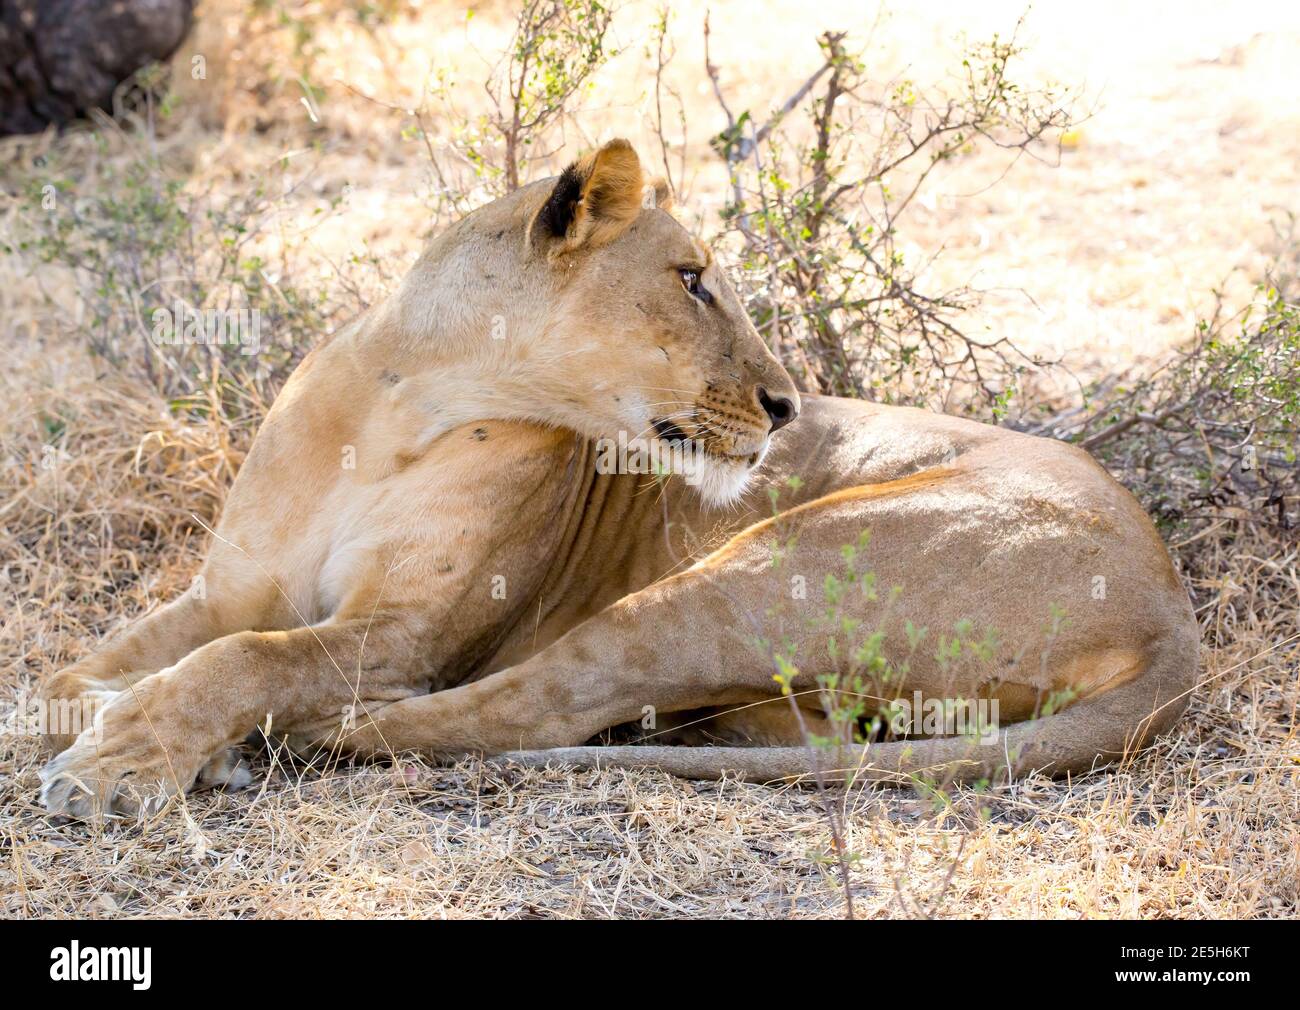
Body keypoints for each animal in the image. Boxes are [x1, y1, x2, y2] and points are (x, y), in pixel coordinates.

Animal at [37, 139, 1199, 819]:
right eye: (691, 280)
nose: (787, 404)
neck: (400, 410)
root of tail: (1174, 614)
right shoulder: (225, 587)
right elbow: (69, 674)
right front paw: (101, 712)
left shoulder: (410, 634)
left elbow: (248, 661)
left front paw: (122, 760)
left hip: (768, 567)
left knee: (527, 708)